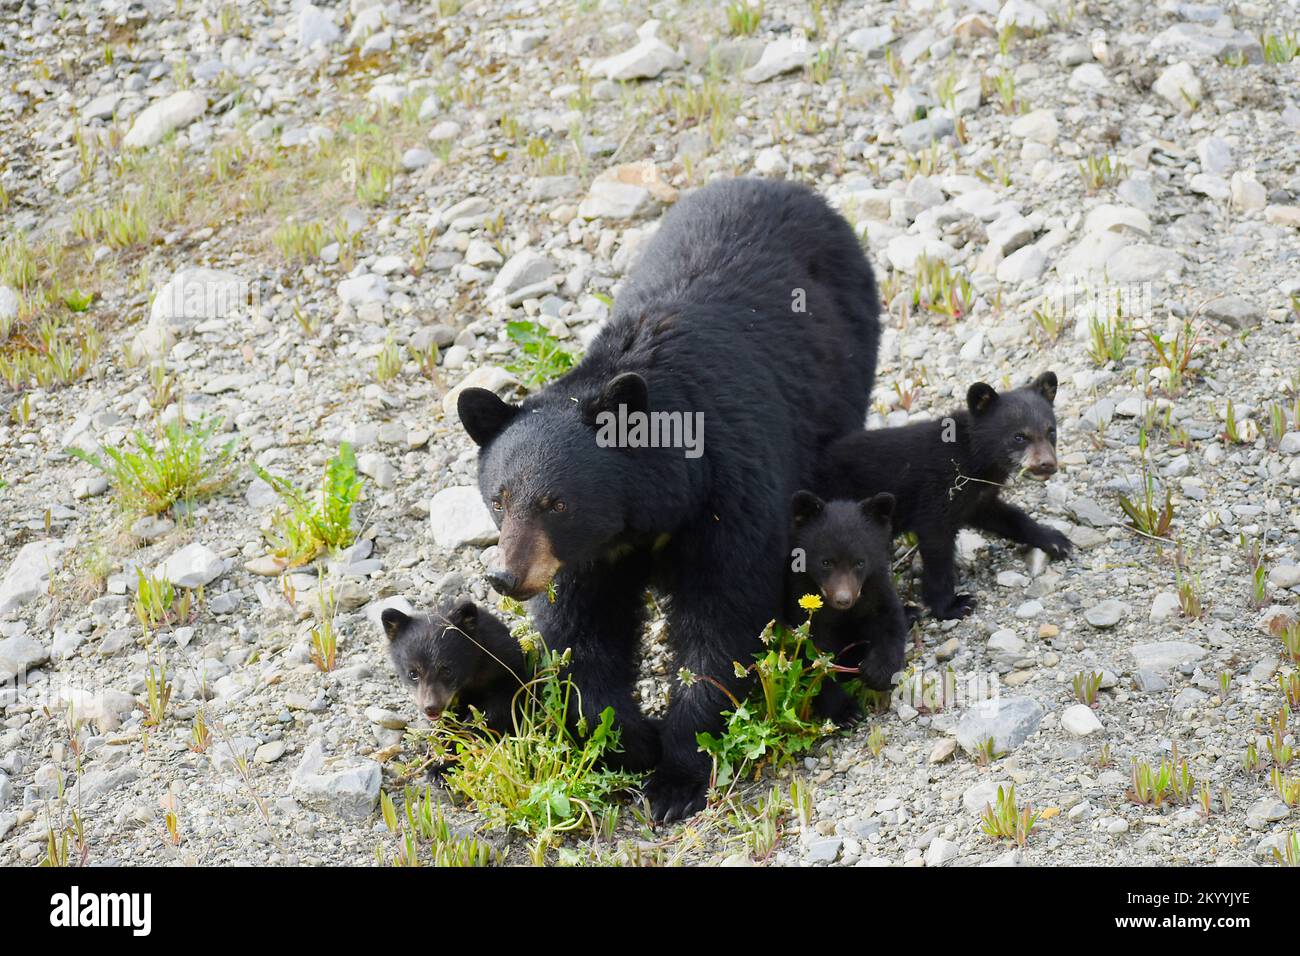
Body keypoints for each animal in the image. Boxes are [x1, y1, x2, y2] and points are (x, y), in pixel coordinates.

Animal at [382, 598, 527, 736]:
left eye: (447, 670)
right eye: (413, 674)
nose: (431, 707)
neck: (472, 672)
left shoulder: (506, 663)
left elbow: (504, 700)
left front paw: (470, 730)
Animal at [456, 178, 881, 822]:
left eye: (557, 503)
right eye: (500, 500)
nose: (506, 578)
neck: (645, 514)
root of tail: (781, 184)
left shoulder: (729, 495)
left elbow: (722, 616)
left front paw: (679, 774)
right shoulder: (584, 557)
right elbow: (583, 635)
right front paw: (626, 744)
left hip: (847, 365)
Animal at [786, 490, 910, 725]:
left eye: (860, 562)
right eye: (826, 562)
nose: (843, 599)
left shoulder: (877, 589)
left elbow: (891, 623)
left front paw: (877, 672)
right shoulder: (804, 606)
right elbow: (815, 659)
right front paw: (846, 711)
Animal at [820, 371, 1071, 621]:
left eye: (1051, 431)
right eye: (1019, 436)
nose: (1047, 464)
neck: (976, 458)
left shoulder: (976, 495)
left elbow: (1002, 514)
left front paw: (1054, 539)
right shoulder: (938, 485)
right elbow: (936, 540)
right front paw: (952, 605)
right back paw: (905, 612)